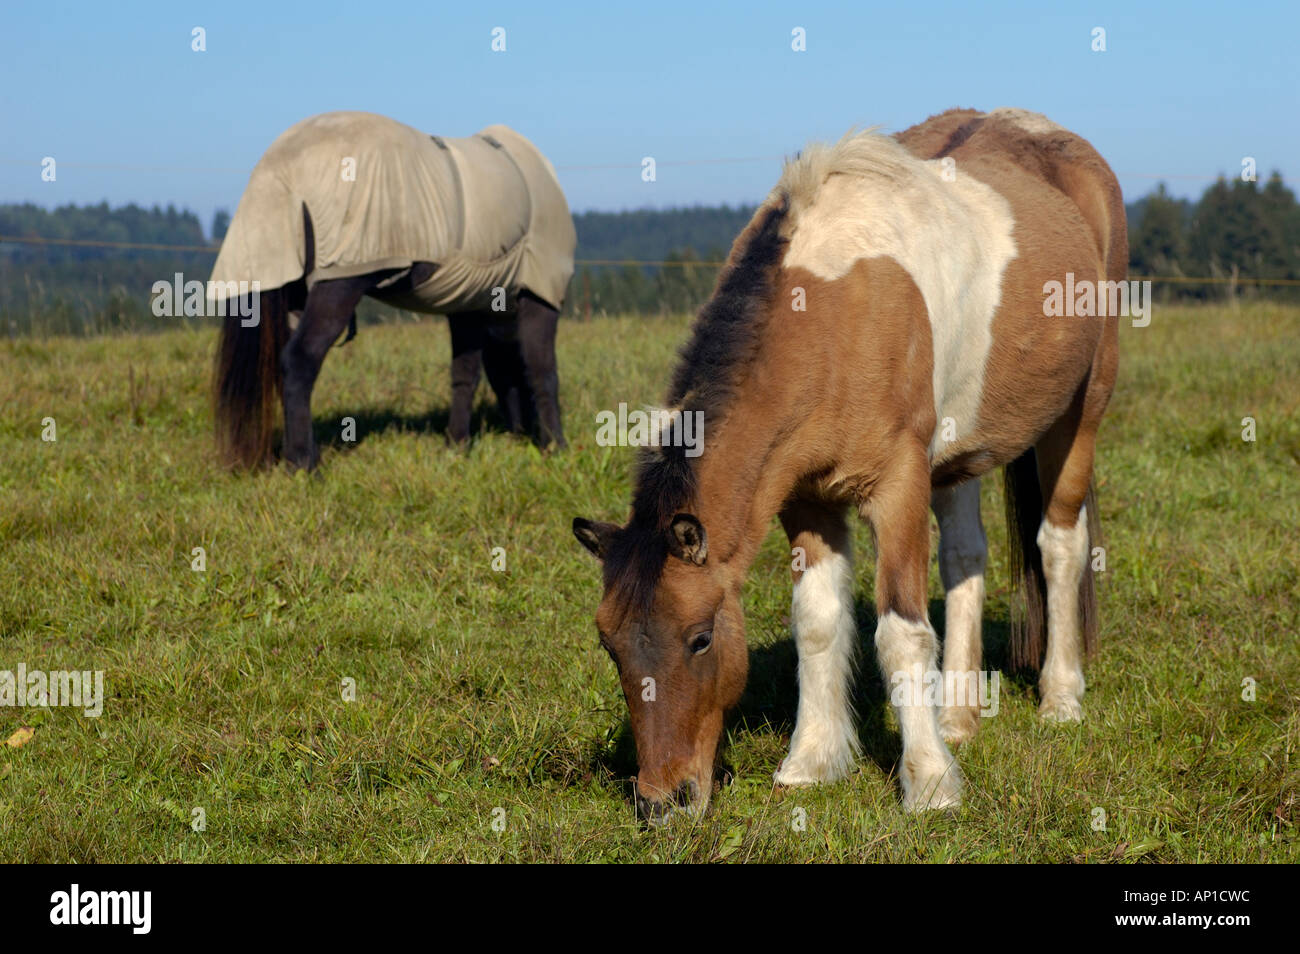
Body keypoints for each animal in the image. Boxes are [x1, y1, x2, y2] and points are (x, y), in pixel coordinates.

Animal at [209, 111, 577, 471]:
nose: (521, 432)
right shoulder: (538, 297)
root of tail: (280, 165)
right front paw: (556, 447)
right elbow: (542, 369)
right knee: (299, 360)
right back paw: (302, 464)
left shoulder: (468, 304)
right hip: (338, 284)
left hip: (291, 290)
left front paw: (456, 446)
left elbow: (466, 375)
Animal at [573, 107, 1125, 823]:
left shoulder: (898, 487)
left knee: (1059, 545)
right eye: (610, 645)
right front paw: (812, 761)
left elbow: (901, 634)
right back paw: (957, 716)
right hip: (960, 453)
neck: (832, 307)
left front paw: (930, 783)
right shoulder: (806, 498)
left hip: (1082, 409)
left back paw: (1059, 697)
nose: (663, 802)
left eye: (699, 639)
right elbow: (818, 624)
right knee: (965, 558)